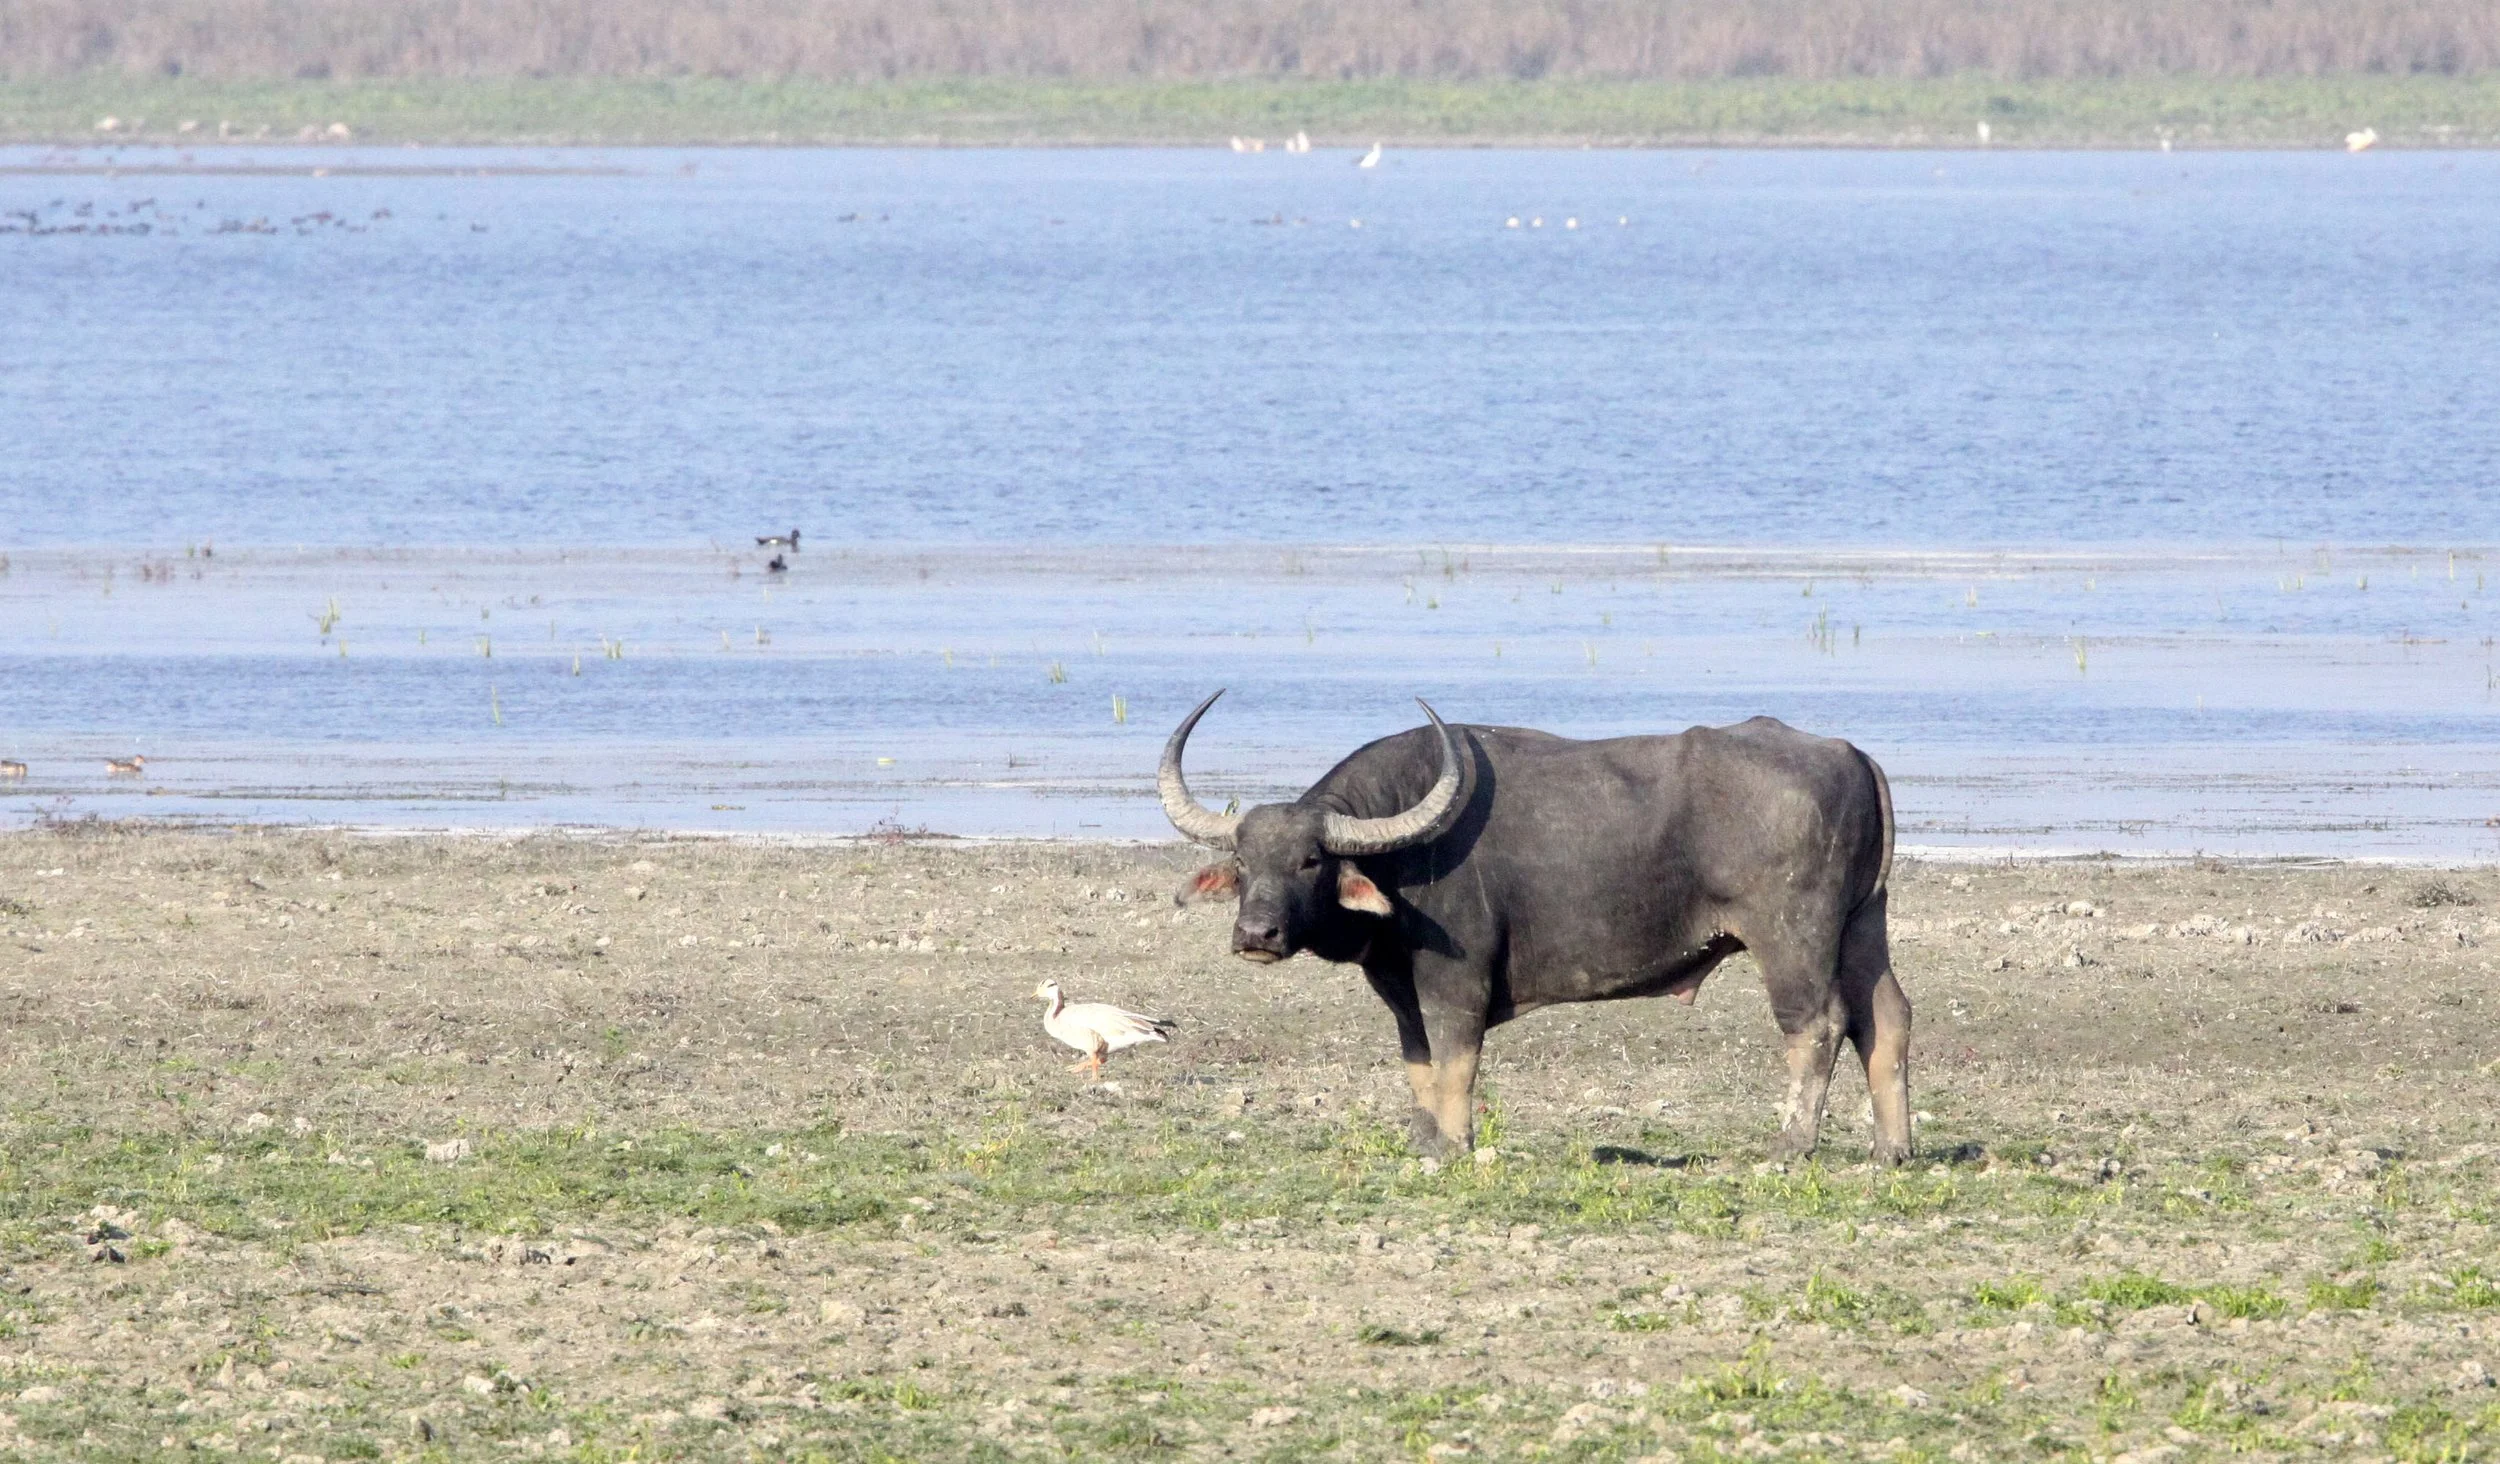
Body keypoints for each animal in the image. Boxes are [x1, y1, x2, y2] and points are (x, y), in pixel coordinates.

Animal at [1162, 692, 1911, 1165]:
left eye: (1310, 861)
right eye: (1243, 861)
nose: (1256, 934)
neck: (1402, 856)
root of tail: (1848, 754)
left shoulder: (1456, 982)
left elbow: (1456, 1063)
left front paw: (1455, 1147)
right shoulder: (1403, 994)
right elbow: (1419, 1066)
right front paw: (1426, 1141)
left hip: (1791, 936)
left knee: (1817, 1024)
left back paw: (1789, 1147)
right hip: (1862, 925)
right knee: (1887, 1017)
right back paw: (1892, 1149)